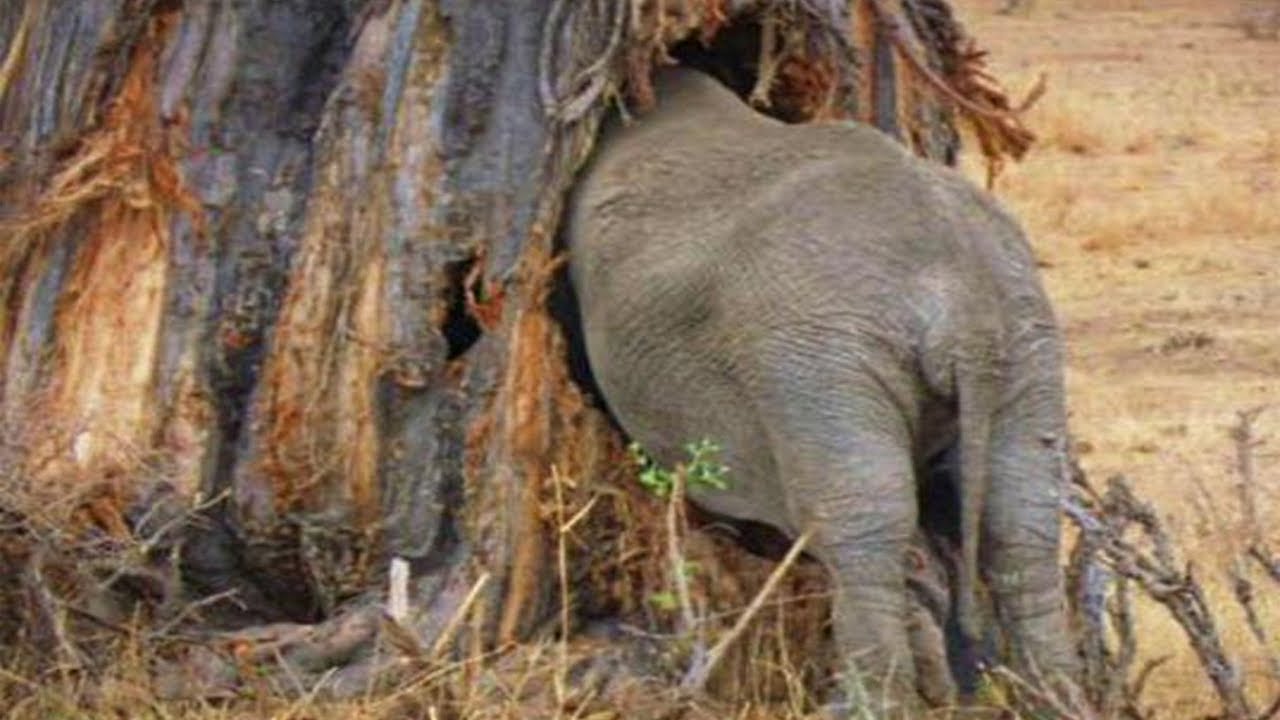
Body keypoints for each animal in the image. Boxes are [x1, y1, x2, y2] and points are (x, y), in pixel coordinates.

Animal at [566, 67, 1076, 713]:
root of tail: (966, 301)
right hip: (1025, 338)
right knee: (1022, 521)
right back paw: (1053, 697)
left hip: (819, 358)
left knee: (862, 523)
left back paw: (871, 704)